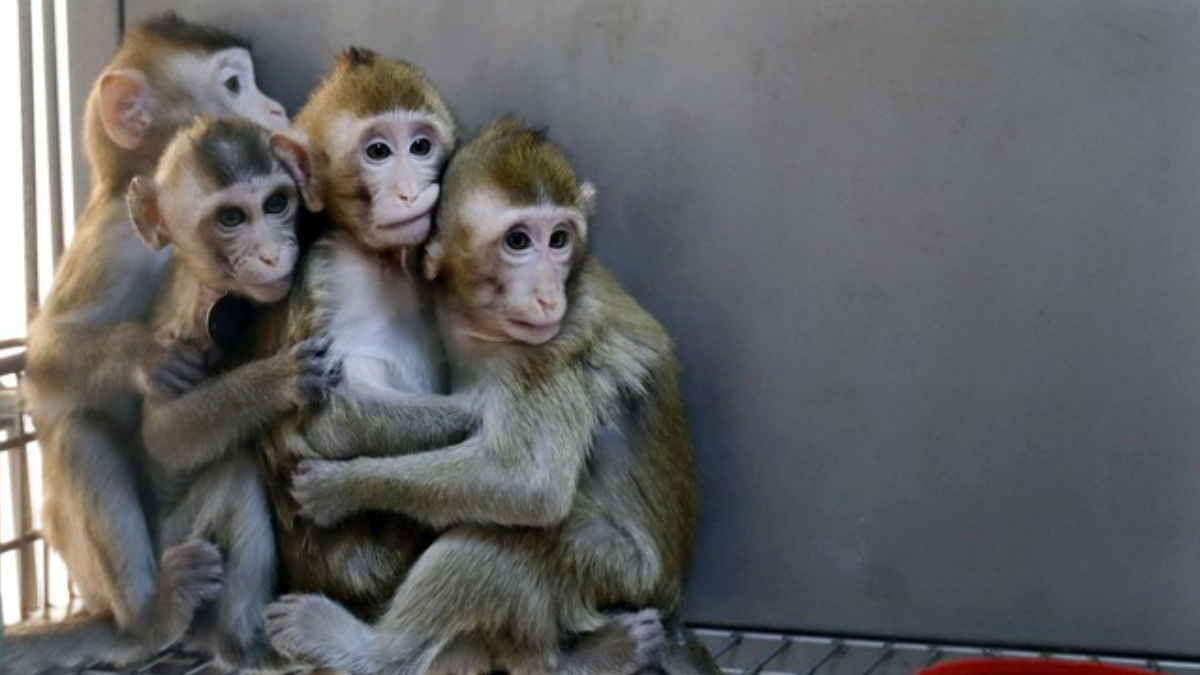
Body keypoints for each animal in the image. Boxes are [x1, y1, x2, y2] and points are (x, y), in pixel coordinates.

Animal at [12, 13, 289, 673]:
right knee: (78, 434)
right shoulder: (114, 241)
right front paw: (150, 357)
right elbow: (45, 361)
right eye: (234, 84)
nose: (276, 106)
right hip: (130, 567)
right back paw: (148, 617)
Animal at [264, 119, 722, 675]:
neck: (476, 323)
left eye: (560, 239)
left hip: (621, 573)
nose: (548, 296)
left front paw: (342, 487)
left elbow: (529, 484)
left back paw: (368, 649)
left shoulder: (551, 353)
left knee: (509, 534)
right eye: (519, 241)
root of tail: (670, 595)